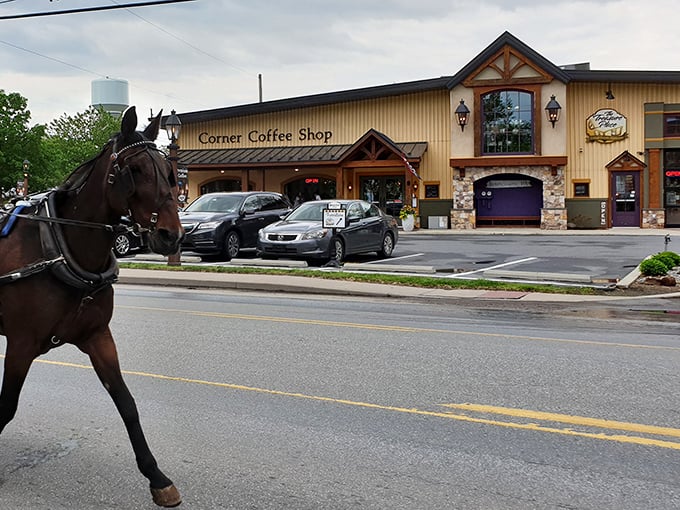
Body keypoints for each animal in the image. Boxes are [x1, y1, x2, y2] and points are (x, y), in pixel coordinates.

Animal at [0, 107, 184, 507]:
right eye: (135, 170)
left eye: (169, 170)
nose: (171, 236)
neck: (60, 243)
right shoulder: (21, 344)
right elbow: (7, 406)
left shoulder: (98, 336)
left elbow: (126, 403)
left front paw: (157, 477)